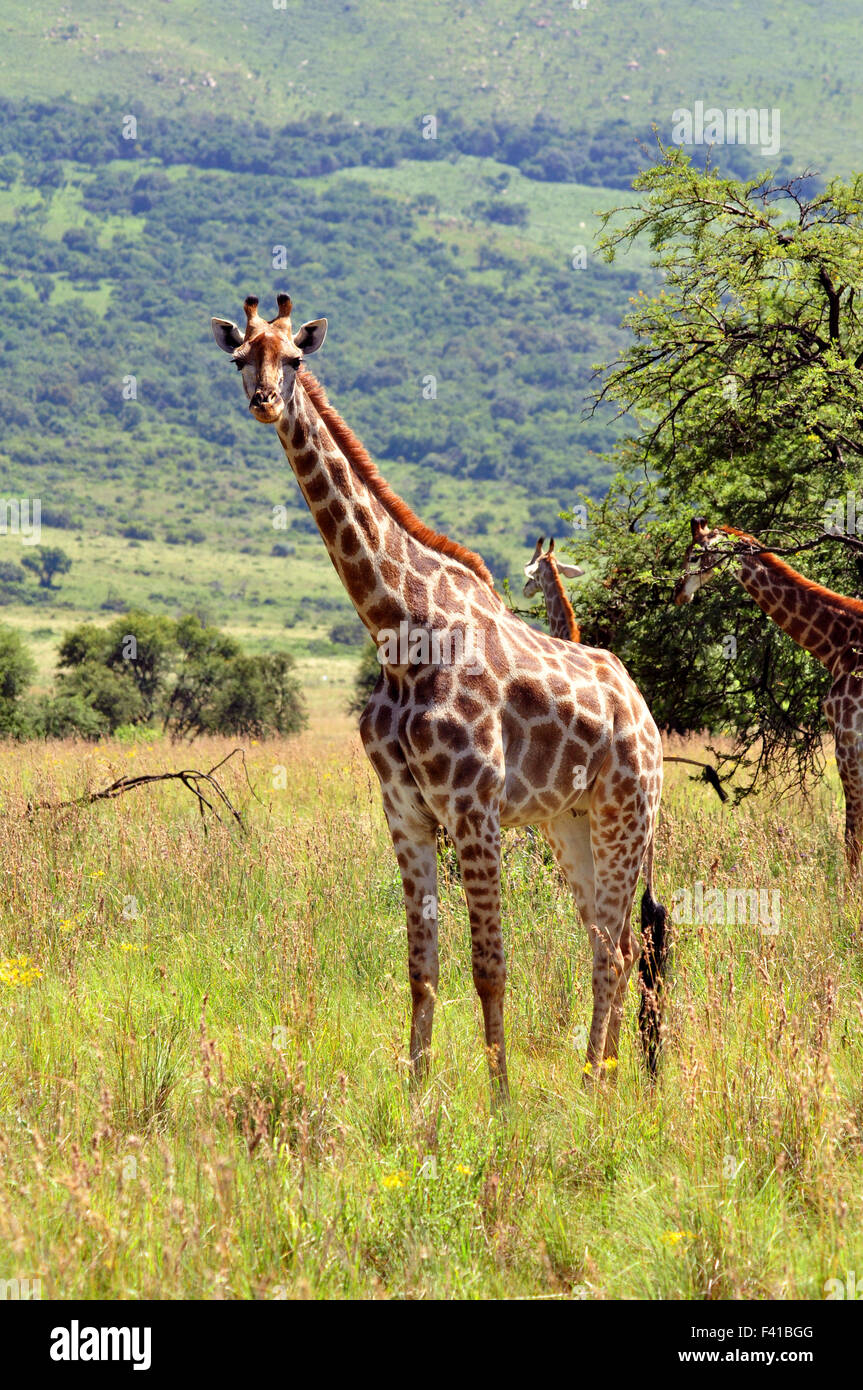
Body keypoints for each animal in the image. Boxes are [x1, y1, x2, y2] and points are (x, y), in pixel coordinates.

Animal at [211, 293, 669, 1097]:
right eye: (241, 358)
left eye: (294, 358)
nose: (264, 401)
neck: (397, 627)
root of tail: (642, 713)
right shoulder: (404, 810)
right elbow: (420, 969)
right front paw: (416, 1096)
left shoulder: (473, 807)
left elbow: (490, 968)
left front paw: (499, 1103)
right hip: (570, 824)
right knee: (603, 944)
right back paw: (597, 1080)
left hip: (628, 813)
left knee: (618, 946)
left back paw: (597, 1087)